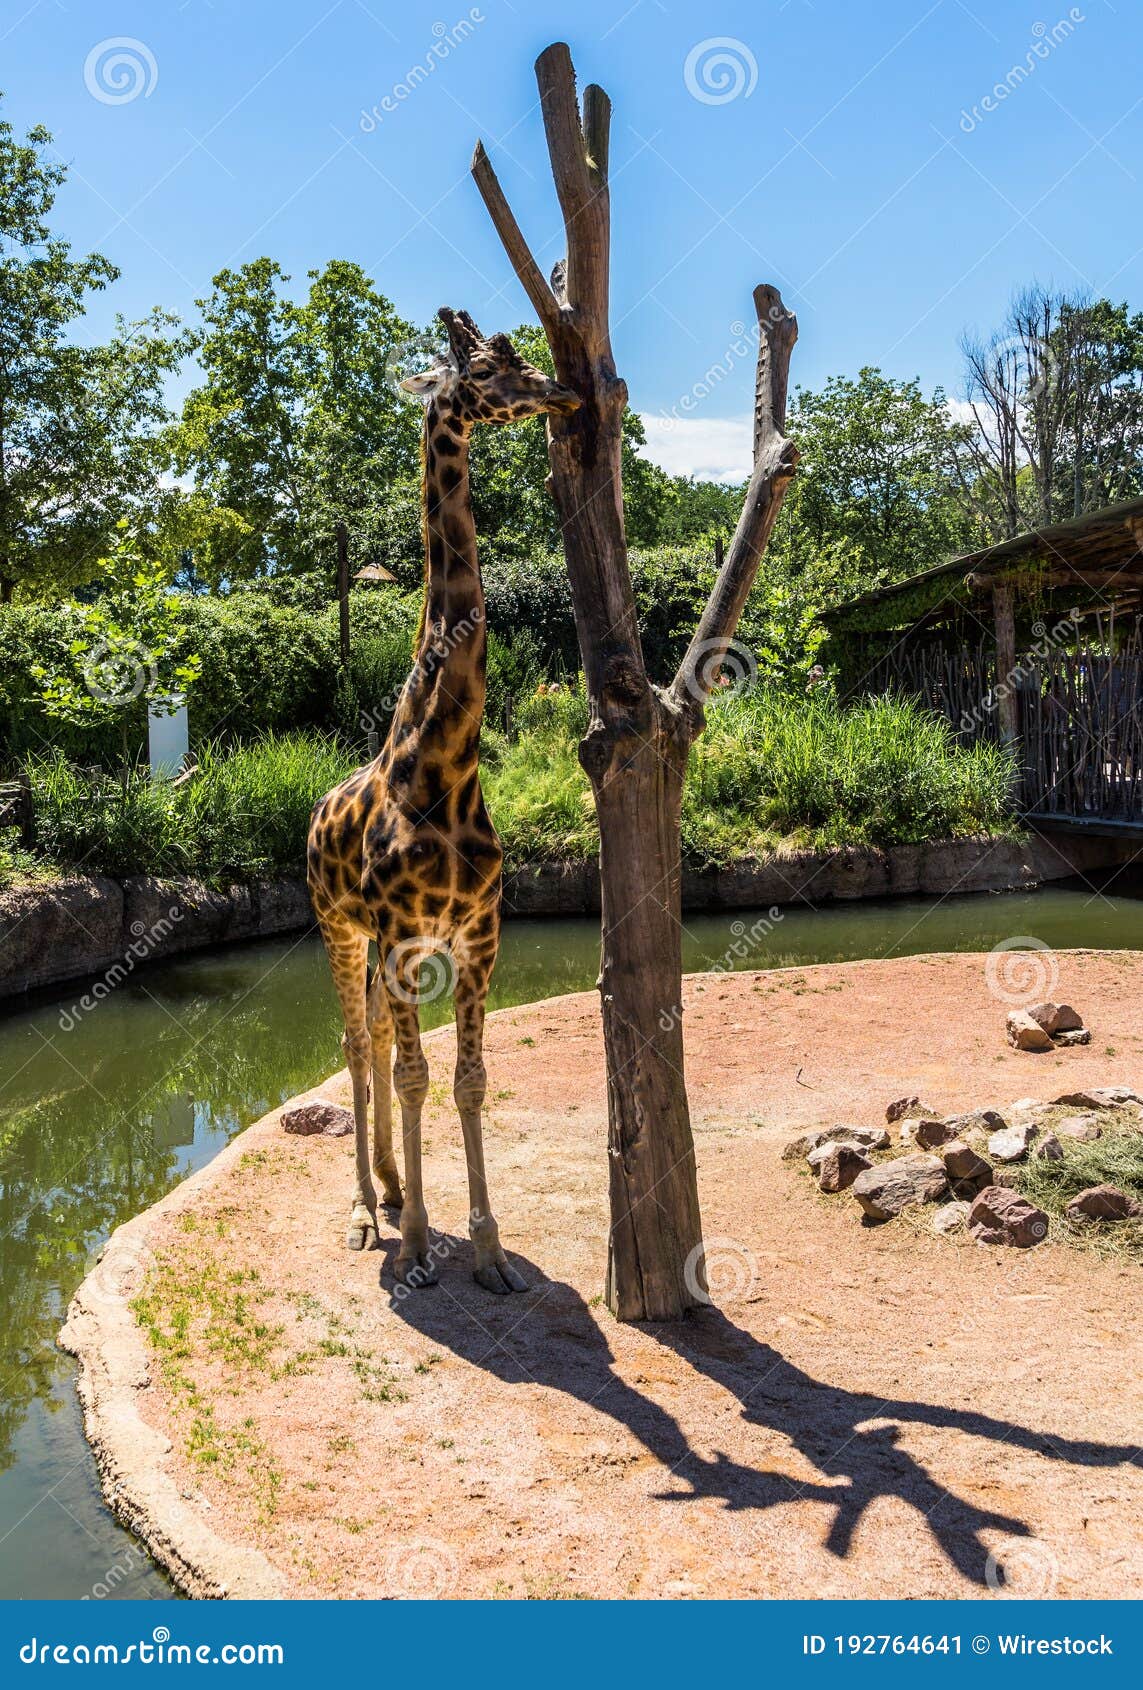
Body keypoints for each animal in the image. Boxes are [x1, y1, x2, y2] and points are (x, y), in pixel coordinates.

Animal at [307, 307, 580, 1293]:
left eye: (519, 354)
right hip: (340, 928)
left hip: (396, 946)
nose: (565, 393)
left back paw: (390, 1188)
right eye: (493, 368)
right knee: (360, 1047)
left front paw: (489, 1249)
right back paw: (364, 1212)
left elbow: (464, 1079)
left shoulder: (476, 930)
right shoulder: (391, 929)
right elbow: (417, 1074)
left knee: (385, 1047)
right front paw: (423, 1245)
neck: (448, 760)